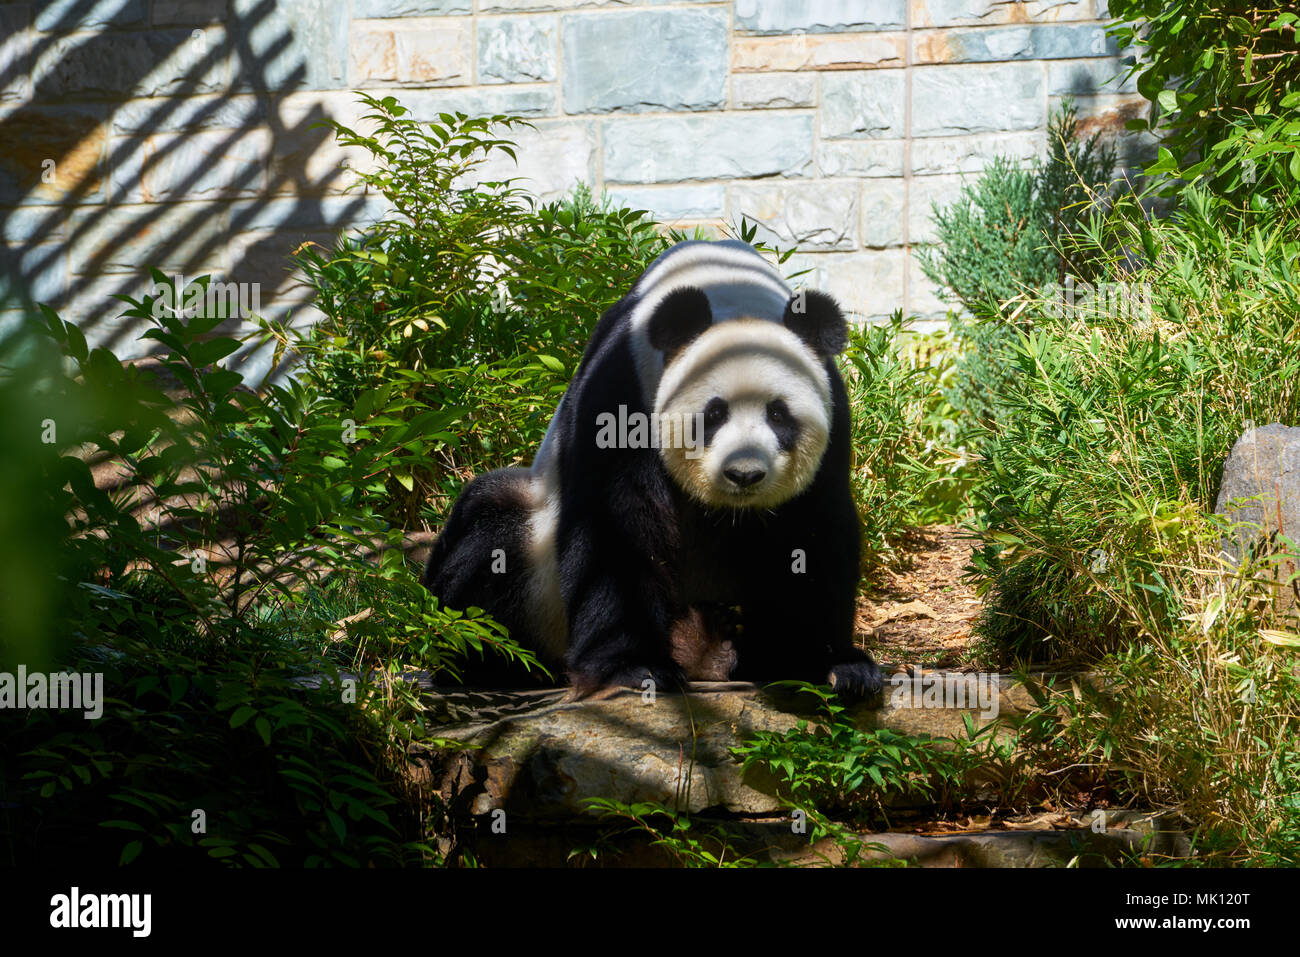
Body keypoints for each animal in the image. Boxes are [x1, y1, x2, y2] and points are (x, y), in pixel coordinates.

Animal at [424, 239, 882, 698]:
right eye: (713, 414)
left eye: (778, 414)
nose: (744, 474)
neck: (727, 284)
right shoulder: (623, 385)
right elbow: (613, 521)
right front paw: (634, 667)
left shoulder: (831, 413)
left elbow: (813, 532)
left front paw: (829, 664)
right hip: (539, 576)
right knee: (489, 528)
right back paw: (493, 667)